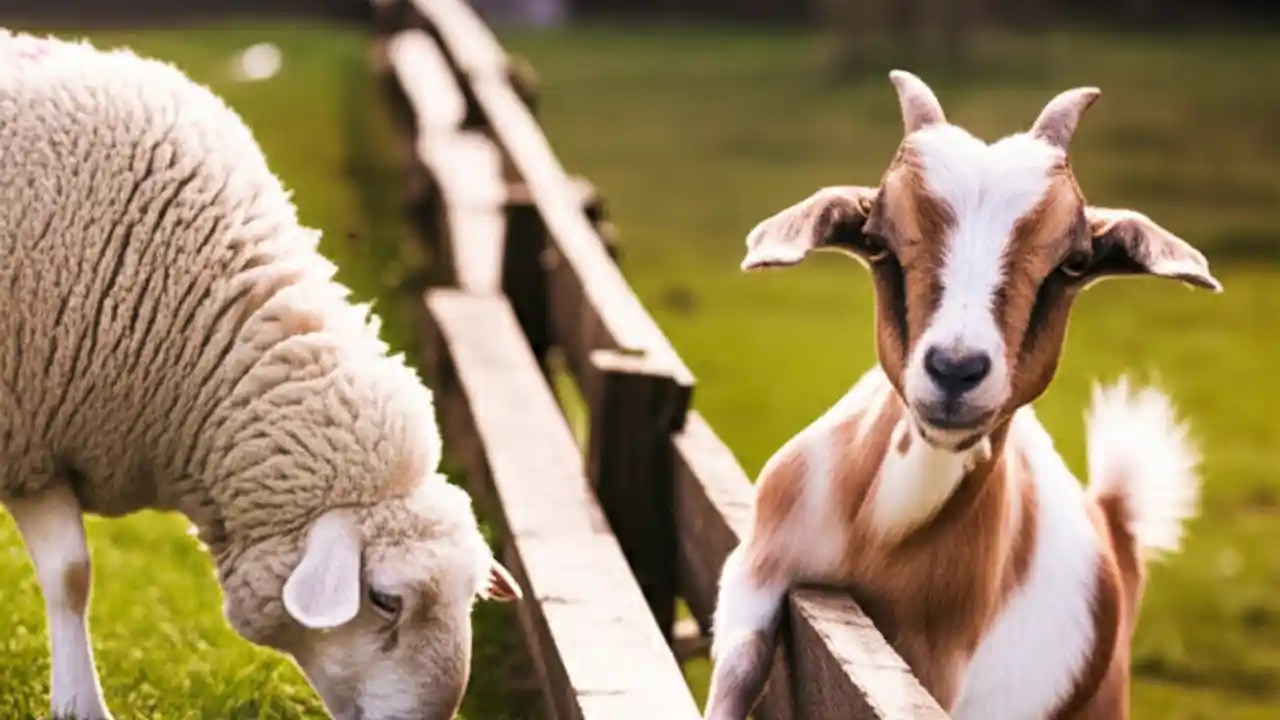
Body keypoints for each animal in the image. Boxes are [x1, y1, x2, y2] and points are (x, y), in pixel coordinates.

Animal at [704, 71, 1219, 720]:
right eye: (876, 242)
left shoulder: (926, 676)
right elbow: (739, 667)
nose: (955, 369)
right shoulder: (755, 571)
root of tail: (1114, 529)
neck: (877, 540)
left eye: (1074, 263)